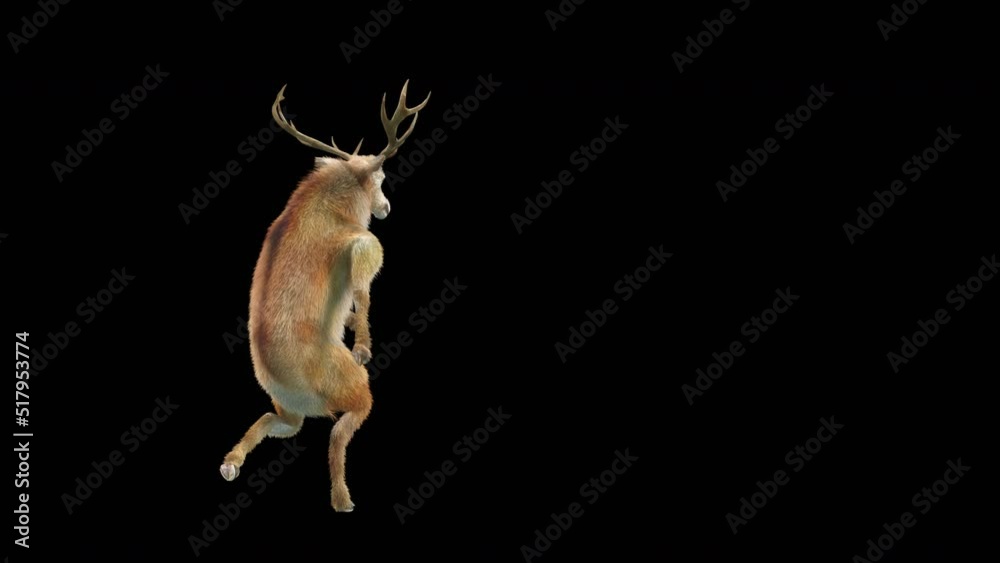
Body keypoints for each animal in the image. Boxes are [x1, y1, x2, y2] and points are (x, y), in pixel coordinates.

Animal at [219, 81, 430, 512]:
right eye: (380, 175)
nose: (386, 207)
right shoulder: (364, 244)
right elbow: (363, 289)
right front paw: (364, 346)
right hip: (352, 386)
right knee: (338, 431)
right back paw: (342, 498)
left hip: (289, 411)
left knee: (271, 421)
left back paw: (230, 463)